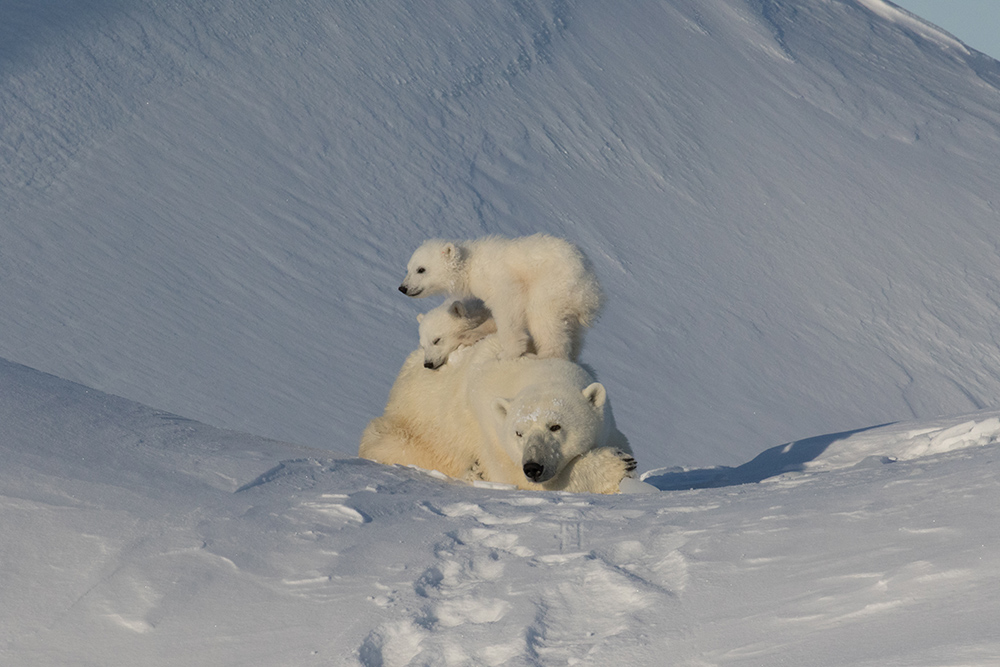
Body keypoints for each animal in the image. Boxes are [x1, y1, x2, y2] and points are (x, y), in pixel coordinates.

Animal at [398, 234, 603, 362]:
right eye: (408, 268)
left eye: (421, 269)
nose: (403, 288)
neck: (471, 265)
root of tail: (590, 289)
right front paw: (470, 334)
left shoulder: (503, 280)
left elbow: (508, 308)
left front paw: (508, 353)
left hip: (551, 286)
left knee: (542, 318)